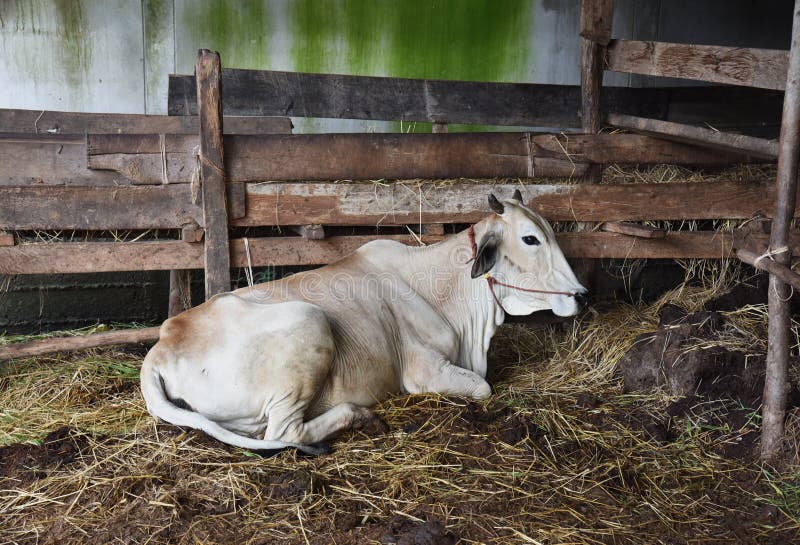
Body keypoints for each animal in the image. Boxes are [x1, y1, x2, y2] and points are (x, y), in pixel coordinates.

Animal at [140, 192, 587, 454]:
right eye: (530, 238)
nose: (582, 295)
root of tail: (164, 343)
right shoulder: (423, 372)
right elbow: (483, 387)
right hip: (308, 324)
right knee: (283, 434)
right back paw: (357, 415)